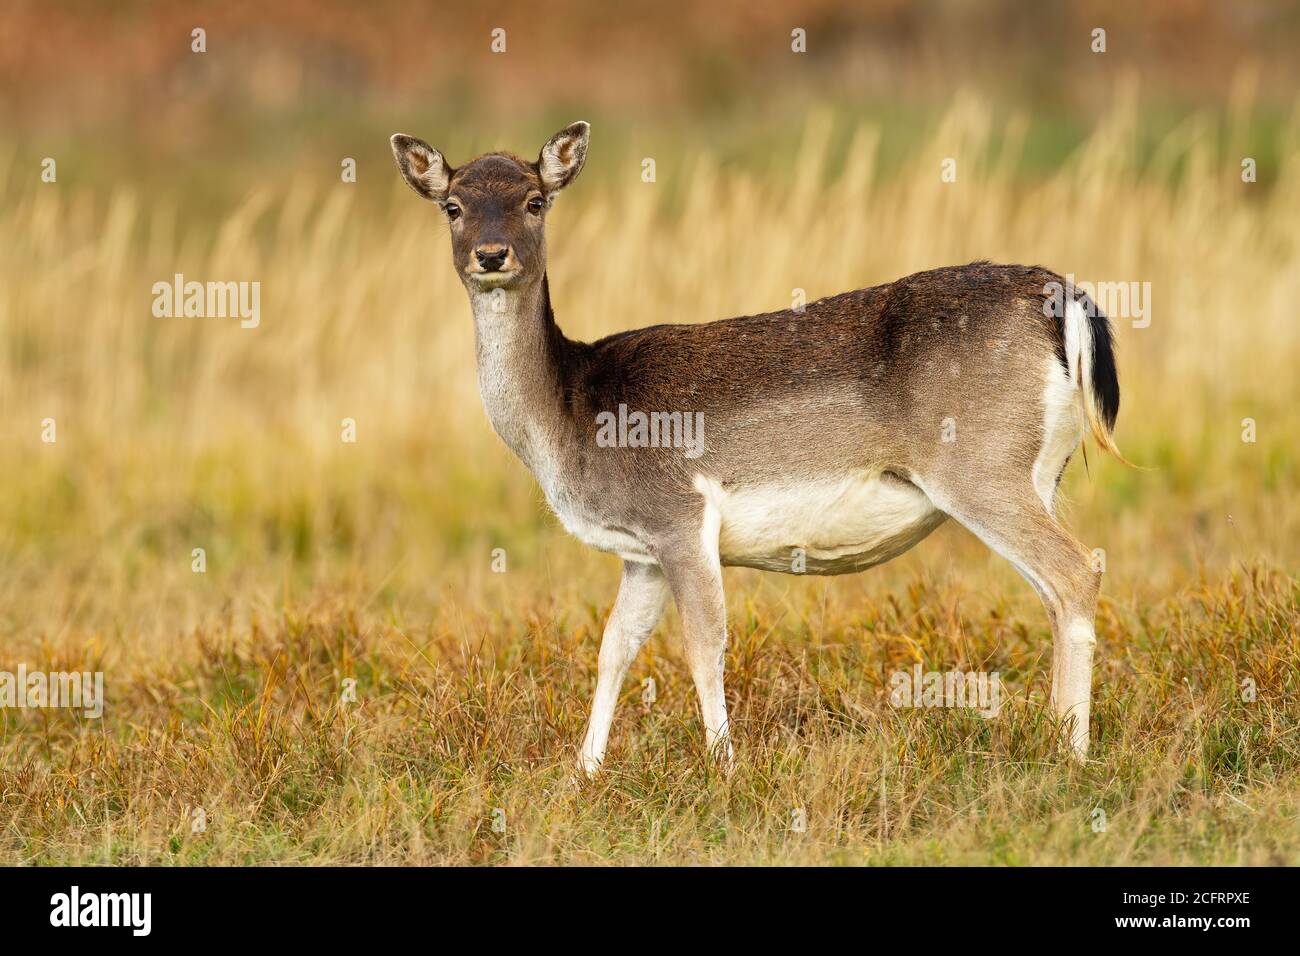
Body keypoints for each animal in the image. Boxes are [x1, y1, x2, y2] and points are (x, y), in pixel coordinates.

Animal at [390, 122, 1125, 775]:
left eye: (534, 200)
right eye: (453, 205)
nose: (491, 255)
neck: (571, 414)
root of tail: (1063, 300)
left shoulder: (678, 513)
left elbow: (704, 642)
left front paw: (724, 766)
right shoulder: (642, 550)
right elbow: (613, 647)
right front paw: (585, 770)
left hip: (981, 468)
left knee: (1076, 571)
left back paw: (1073, 752)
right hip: (1042, 474)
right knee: (1053, 590)